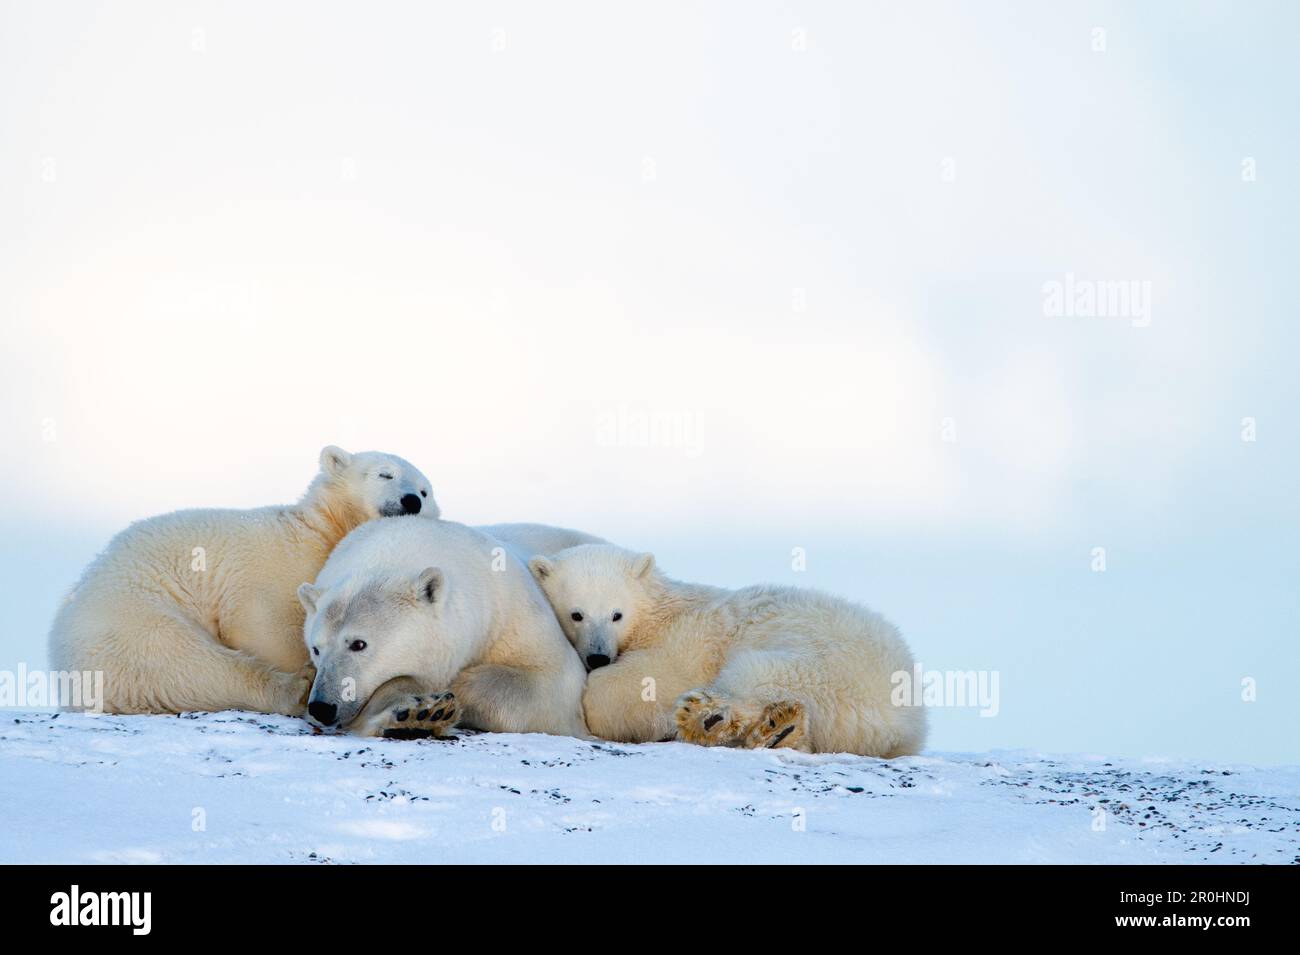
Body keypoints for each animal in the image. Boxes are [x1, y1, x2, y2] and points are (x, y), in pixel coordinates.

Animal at [47, 446, 438, 716]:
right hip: (133, 623)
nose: (411, 500)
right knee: (193, 665)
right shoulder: (273, 563)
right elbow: (261, 621)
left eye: (425, 490)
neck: (324, 531)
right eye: (385, 474)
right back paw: (294, 688)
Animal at [297, 516, 594, 739]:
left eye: (358, 643)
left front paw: (426, 707)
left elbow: (550, 681)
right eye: (316, 649)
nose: (321, 706)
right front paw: (418, 714)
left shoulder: (513, 609)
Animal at [527, 544, 927, 756]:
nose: (597, 657)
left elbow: (640, 685)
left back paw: (711, 717)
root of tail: (907, 718)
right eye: (576, 614)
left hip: (824, 662)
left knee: (754, 674)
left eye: (616, 614)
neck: (658, 611)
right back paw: (781, 731)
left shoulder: (683, 640)